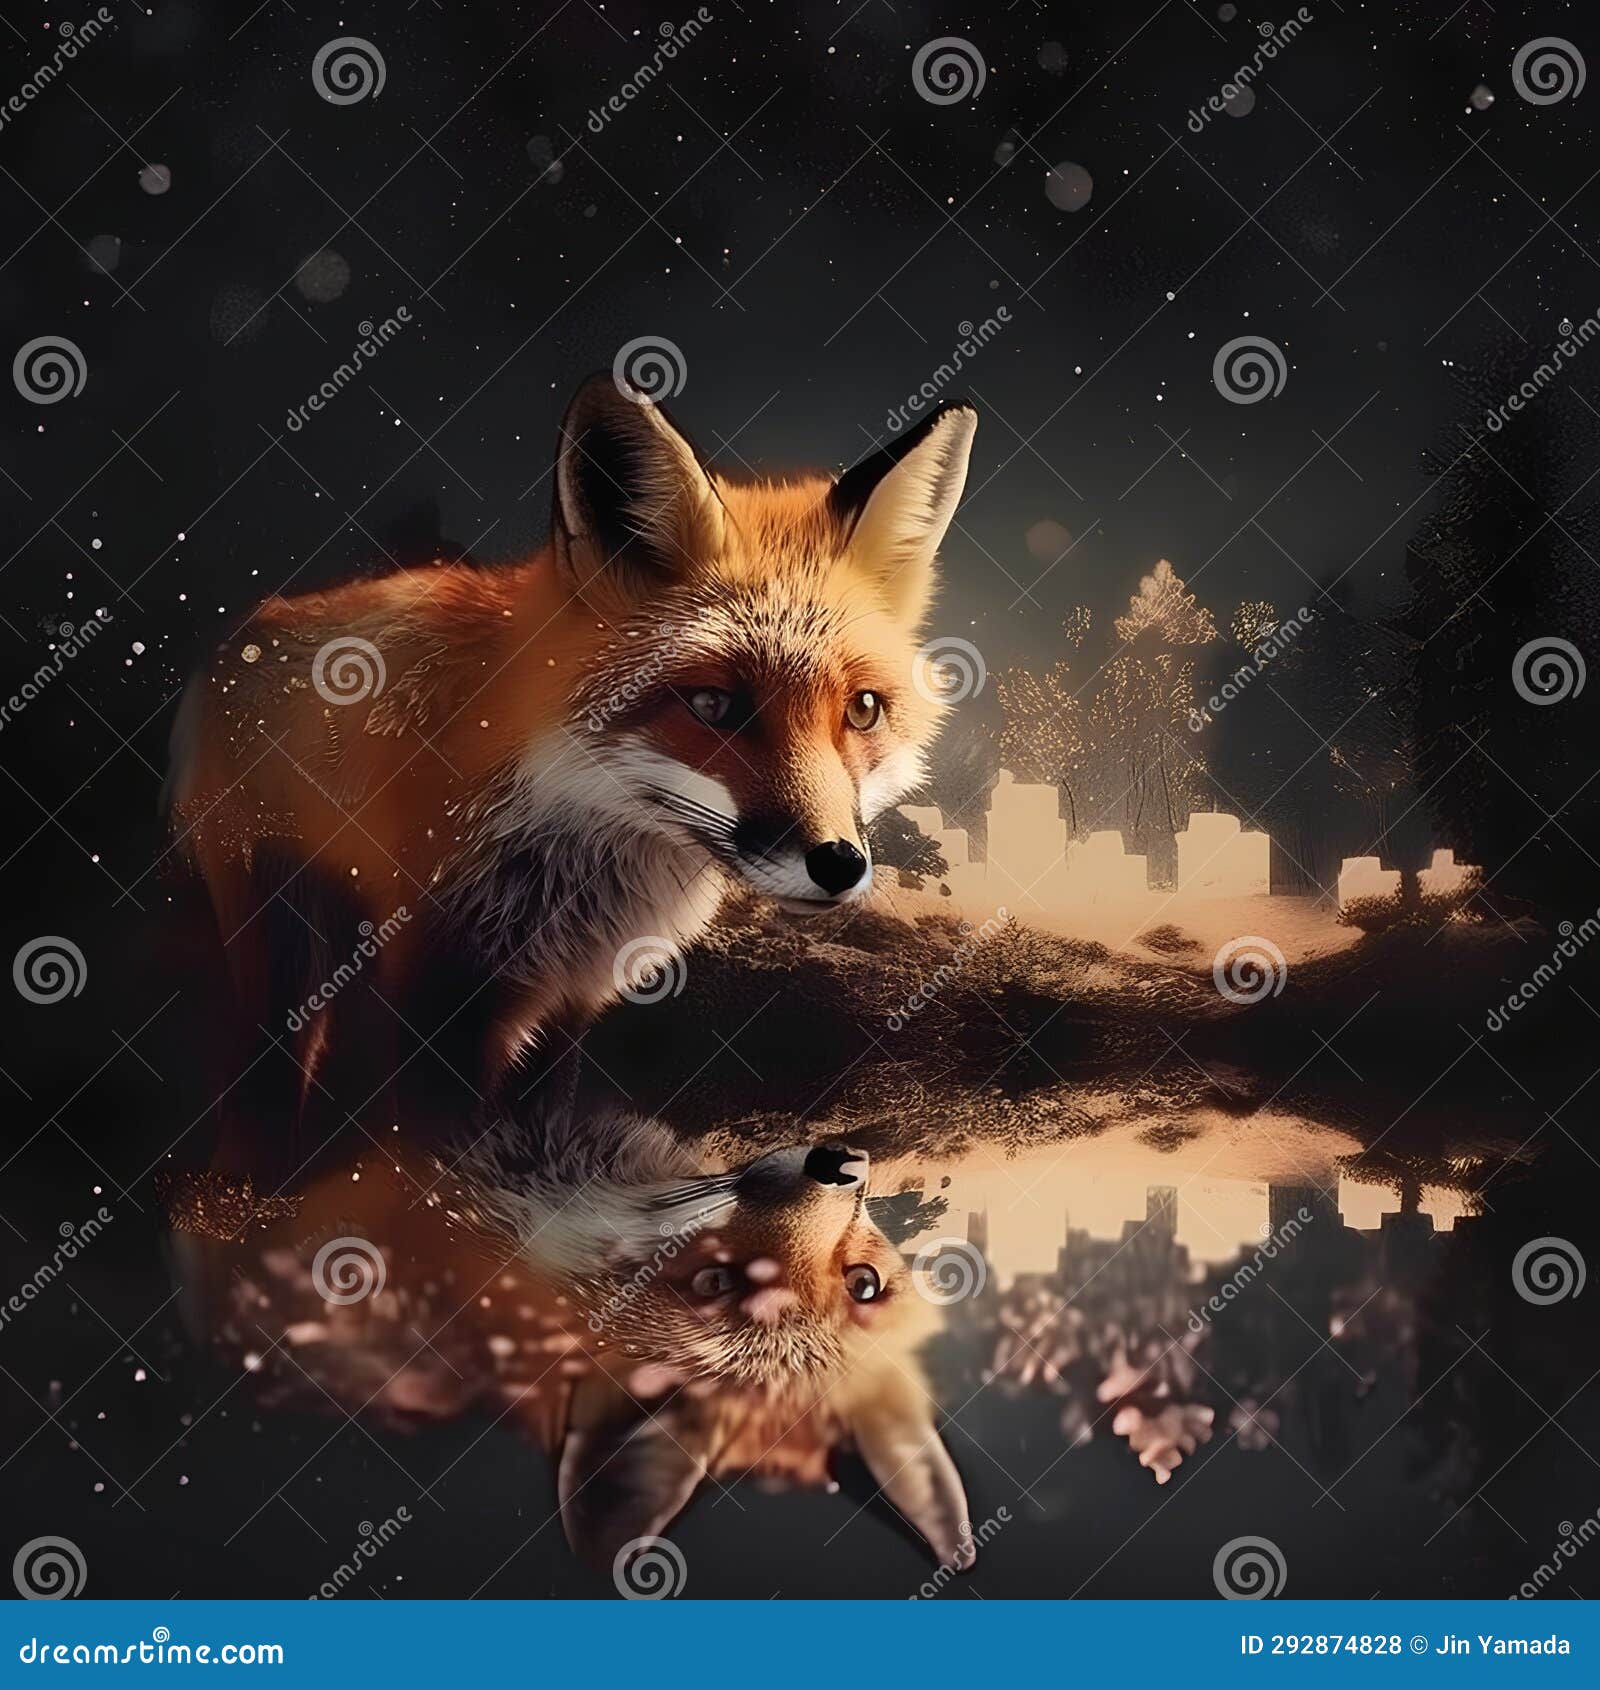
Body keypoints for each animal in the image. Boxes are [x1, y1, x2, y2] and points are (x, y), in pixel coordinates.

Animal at [166, 375, 976, 1142]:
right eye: (713, 706)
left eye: (862, 710)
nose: (838, 863)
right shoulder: (440, 997)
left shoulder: (571, 1003)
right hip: (279, 956)